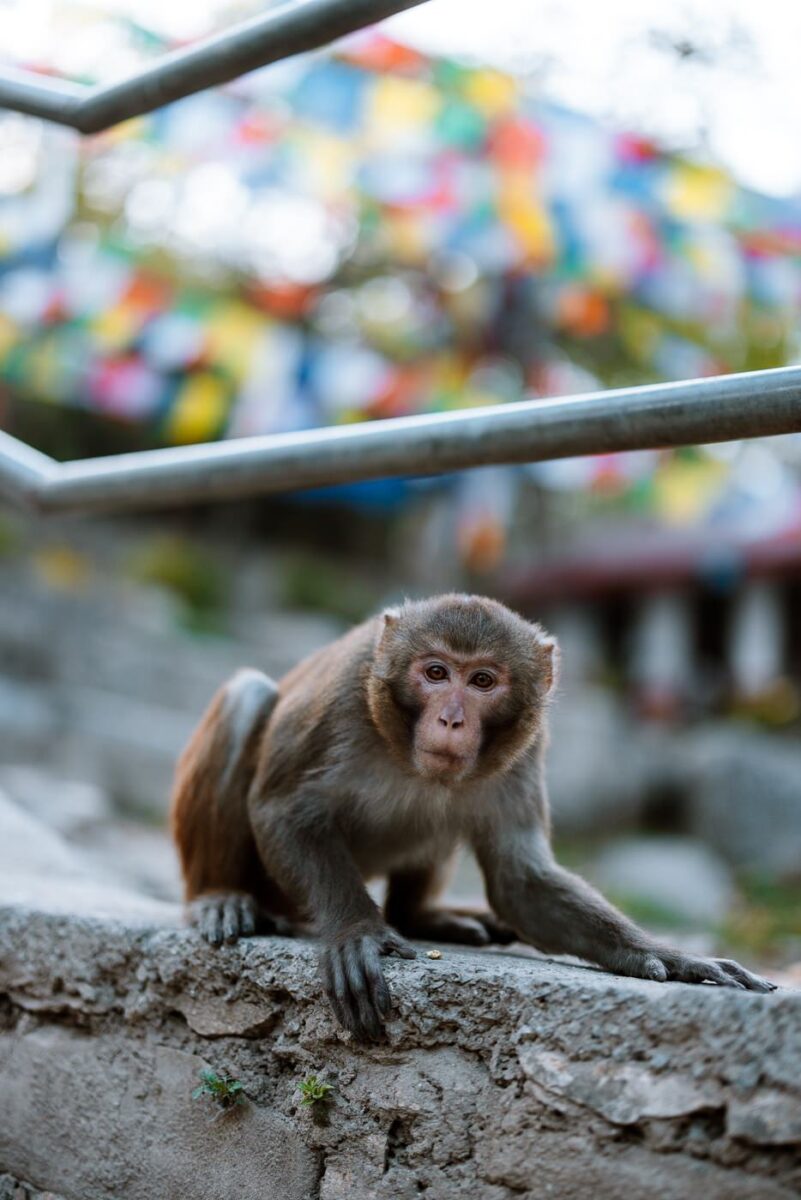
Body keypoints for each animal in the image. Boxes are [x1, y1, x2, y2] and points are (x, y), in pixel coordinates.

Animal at [170, 594, 776, 1041]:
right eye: (436, 673)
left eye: (483, 681)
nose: (452, 719)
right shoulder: (338, 700)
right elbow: (283, 811)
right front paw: (355, 931)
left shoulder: (527, 747)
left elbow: (520, 880)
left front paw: (667, 955)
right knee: (248, 696)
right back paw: (220, 897)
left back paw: (423, 915)